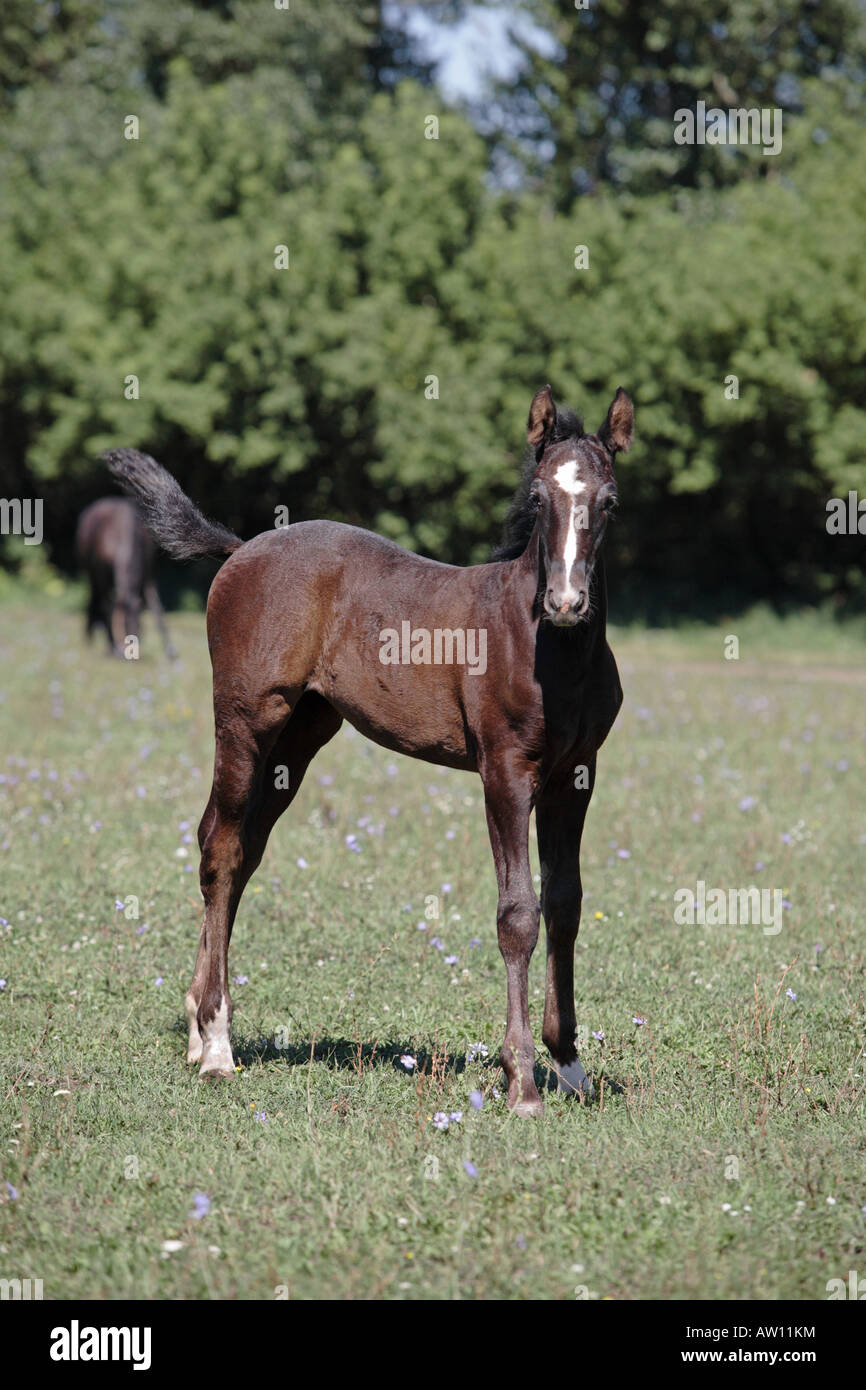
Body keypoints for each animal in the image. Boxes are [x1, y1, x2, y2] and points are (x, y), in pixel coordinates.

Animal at [75, 497, 176, 660]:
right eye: (121, 628)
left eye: (139, 626)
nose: (129, 655)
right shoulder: (101, 574)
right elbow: (106, 606)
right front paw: (111, 646)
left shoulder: (147, 575)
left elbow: (157, 608)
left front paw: (170, 651)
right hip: (91, 574)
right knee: (94, 599)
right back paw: (89, 640)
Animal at [105, 384, 631, 1115]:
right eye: (536, 498)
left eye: (608, 501)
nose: (565, 602)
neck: (552, 651)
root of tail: (241, 547)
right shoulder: (504, 772)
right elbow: (519, 915)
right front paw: (522, 1081)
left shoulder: (575, 777)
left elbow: (566, 905)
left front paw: (571, 1066)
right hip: (246, 721)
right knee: (221, 848)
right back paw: (215, 1047)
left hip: (299, 736)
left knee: (237, 847)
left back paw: (198, 1029)